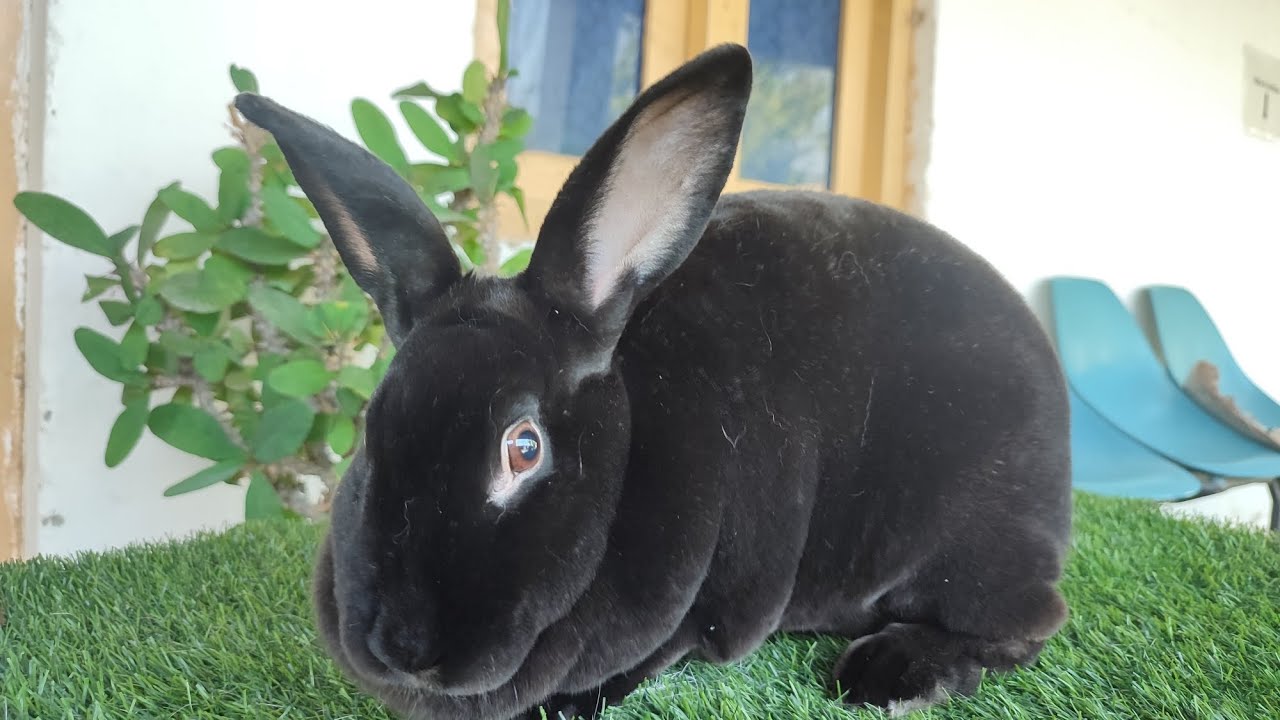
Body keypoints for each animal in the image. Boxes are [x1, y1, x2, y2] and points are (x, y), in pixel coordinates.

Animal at [233, 42, 1071, 720]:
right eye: (370, 430)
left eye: (524, 448)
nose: (405, 648)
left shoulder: (710, 606)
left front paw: (575, 702)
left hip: (972, 545)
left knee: (1028, 627)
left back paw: (889, 672)